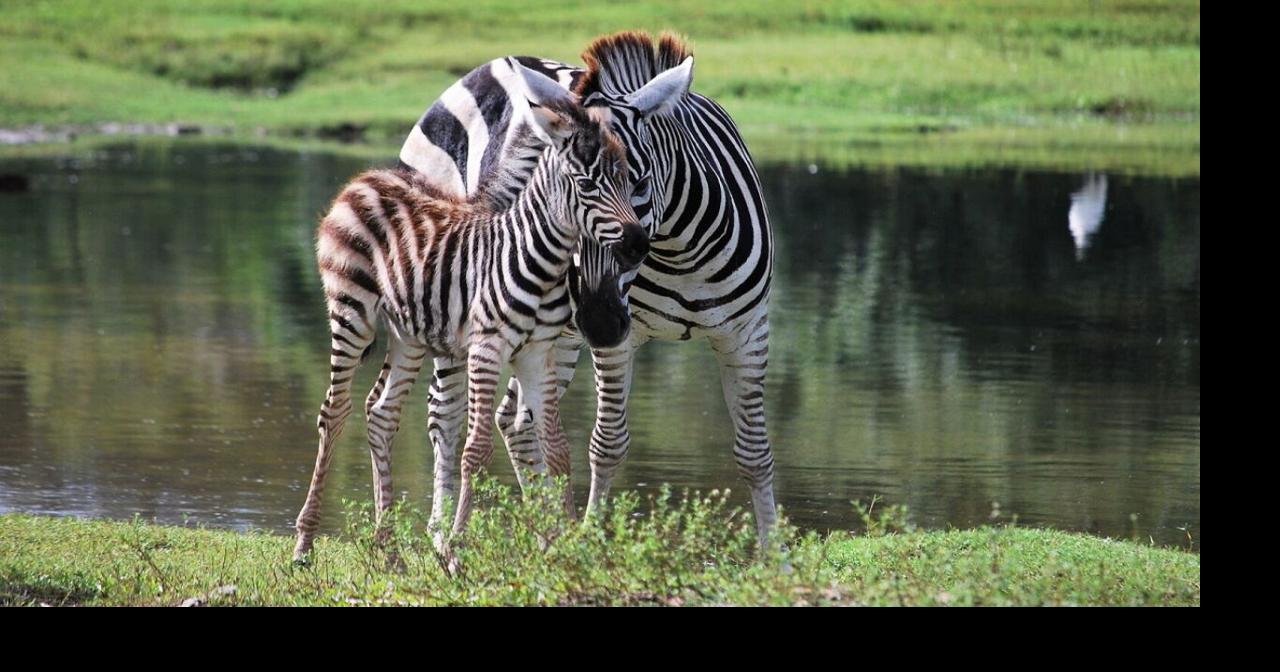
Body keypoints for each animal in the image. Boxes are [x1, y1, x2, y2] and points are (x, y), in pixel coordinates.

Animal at [291, 64, 646, 562]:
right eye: (588, 185)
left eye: (629, 179)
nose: (638, 246)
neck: (540, 260)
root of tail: (366, 178)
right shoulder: (487, 348)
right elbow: (475, 450)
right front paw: (455, 551)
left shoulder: (537, 352)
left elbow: (558, 451)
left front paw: (566, 546)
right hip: (351, 310)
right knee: (334, 411)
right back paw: (304, 544)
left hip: (407, 332)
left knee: (381, 412)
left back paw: (389, 551)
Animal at [401, 32, 779, 544]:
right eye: (570, 197)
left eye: (638, 181)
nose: (598, 322)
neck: (681, 253)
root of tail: (500, 63)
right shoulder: (620, 341)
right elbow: (608, 444)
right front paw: (594, 541)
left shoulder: (747, 332)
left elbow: (754, 453)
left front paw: (774, 553)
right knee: (447, 413)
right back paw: (443, 533)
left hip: (548, 332)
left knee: (515, 420)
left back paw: (545, 533)